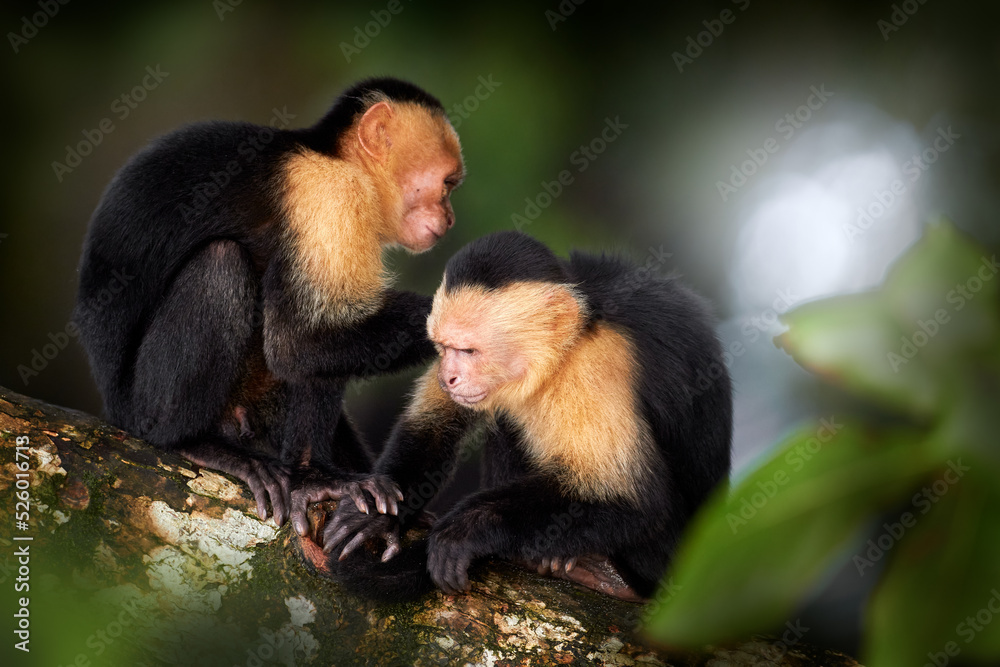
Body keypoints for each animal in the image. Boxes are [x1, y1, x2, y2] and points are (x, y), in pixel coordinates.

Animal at [74, 77, 464, 536]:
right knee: (222, 264)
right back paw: (195, 444)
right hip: (141, 410)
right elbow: (298, 343)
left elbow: (312, 347)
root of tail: (114, 409)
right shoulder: (328, 196)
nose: (450, 217)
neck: (333, 159)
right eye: (447, 185)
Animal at [319, 230, 732, 601]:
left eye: (468, 351)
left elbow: (636, 503)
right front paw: (377, 510)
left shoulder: (597, 363)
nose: (447, 376)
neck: (560, 357)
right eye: (443, 347)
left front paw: (466, 529)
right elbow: (433, 427)